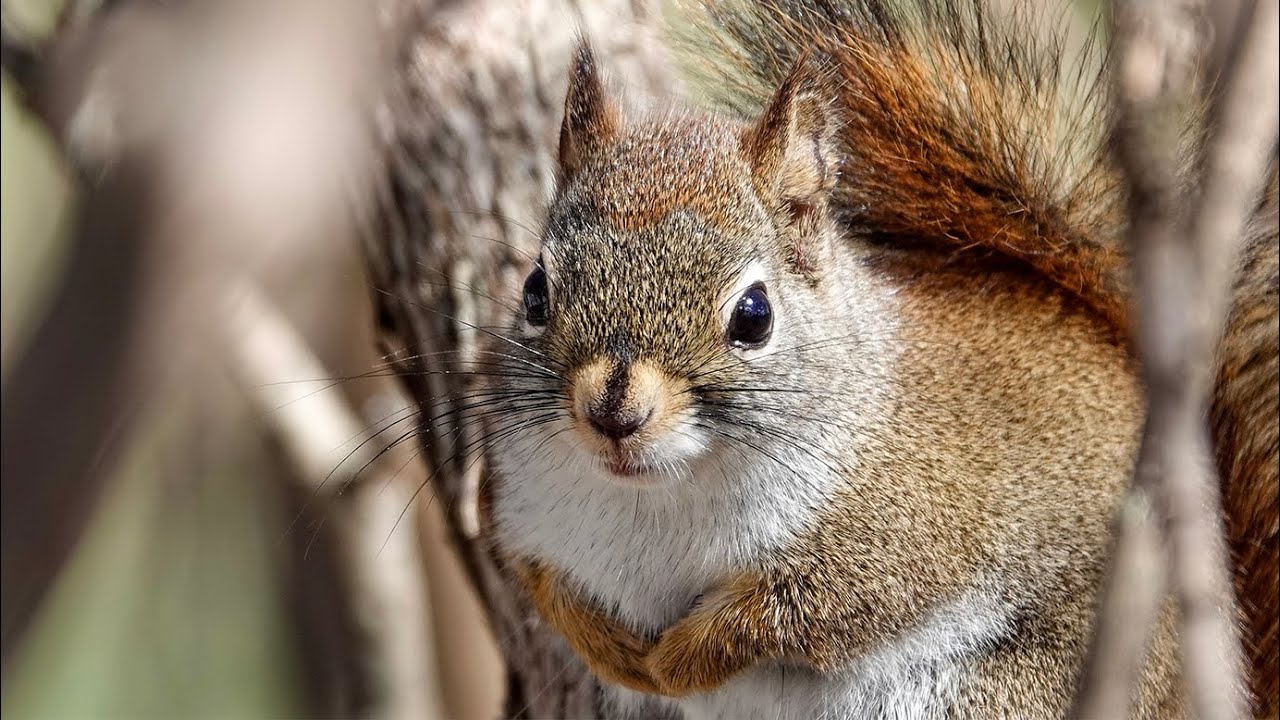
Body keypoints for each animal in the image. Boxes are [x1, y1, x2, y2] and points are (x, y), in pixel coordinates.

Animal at [483, 0, 1279, 718]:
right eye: (535, 291)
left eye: (754, 316)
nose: (613, 413)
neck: (656, 495)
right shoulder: (530, 519)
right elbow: (544, 584)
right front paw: (609, 647)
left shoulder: (902, 534)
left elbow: (788, 618)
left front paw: (678, 660)